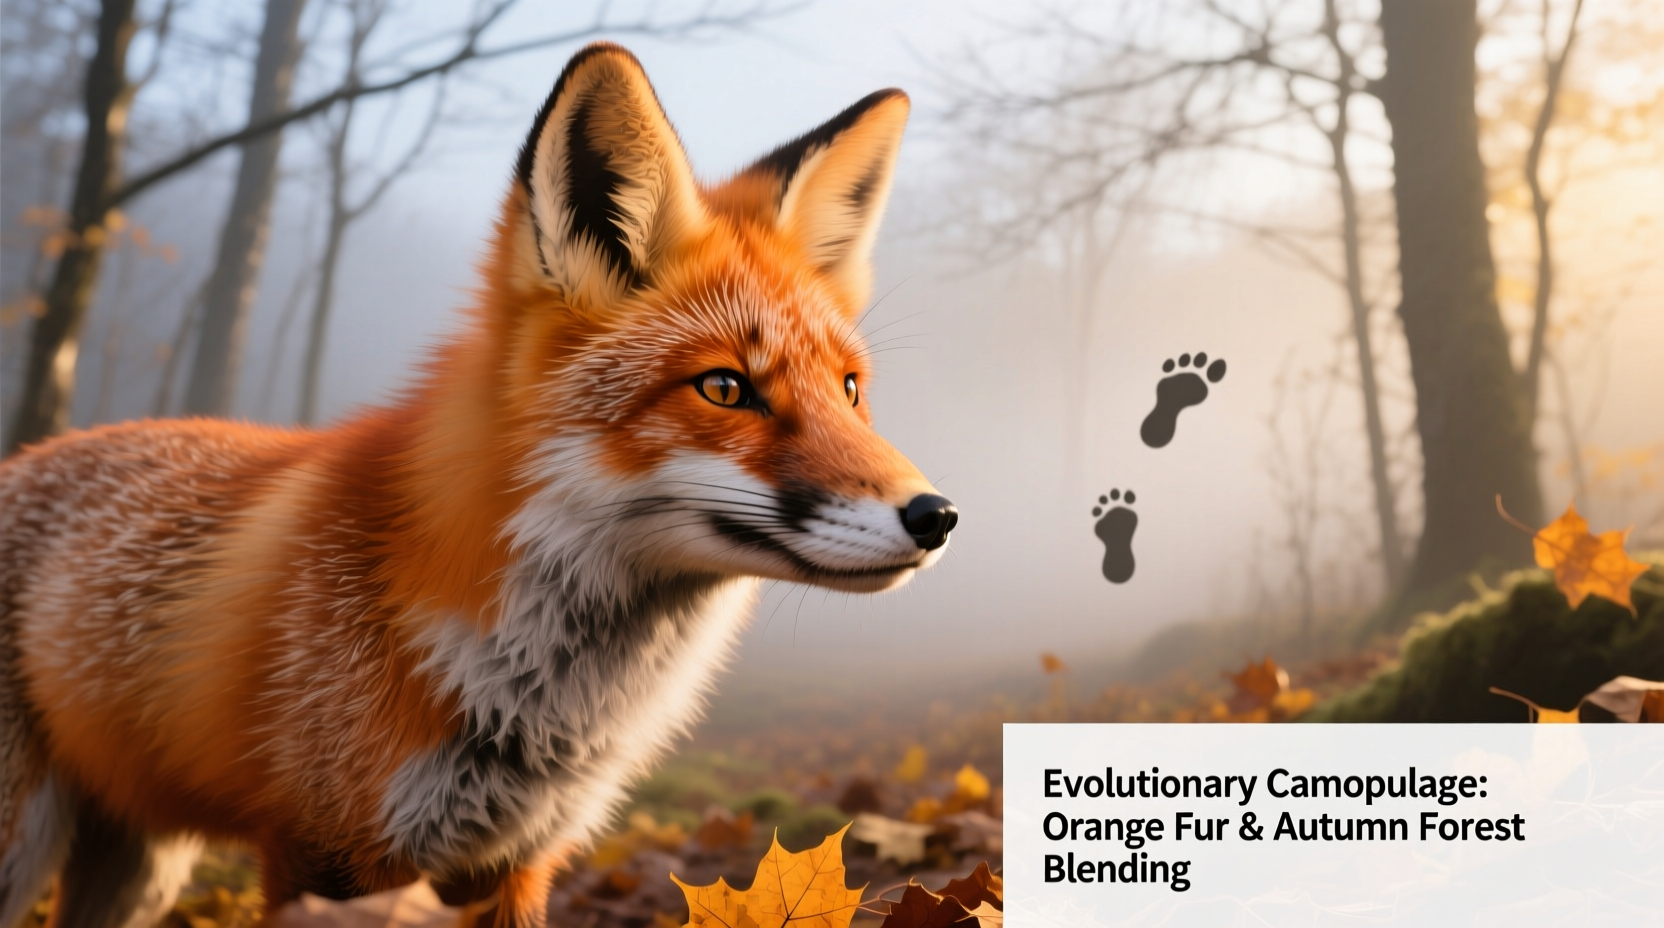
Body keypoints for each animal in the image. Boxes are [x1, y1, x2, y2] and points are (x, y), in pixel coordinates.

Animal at [0, 43, 955, 927]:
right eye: (724, 388)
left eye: (850, 390)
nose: (938, 515)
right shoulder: (325, 855)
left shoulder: (516, 861)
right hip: (29, 852)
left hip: (140, 870)